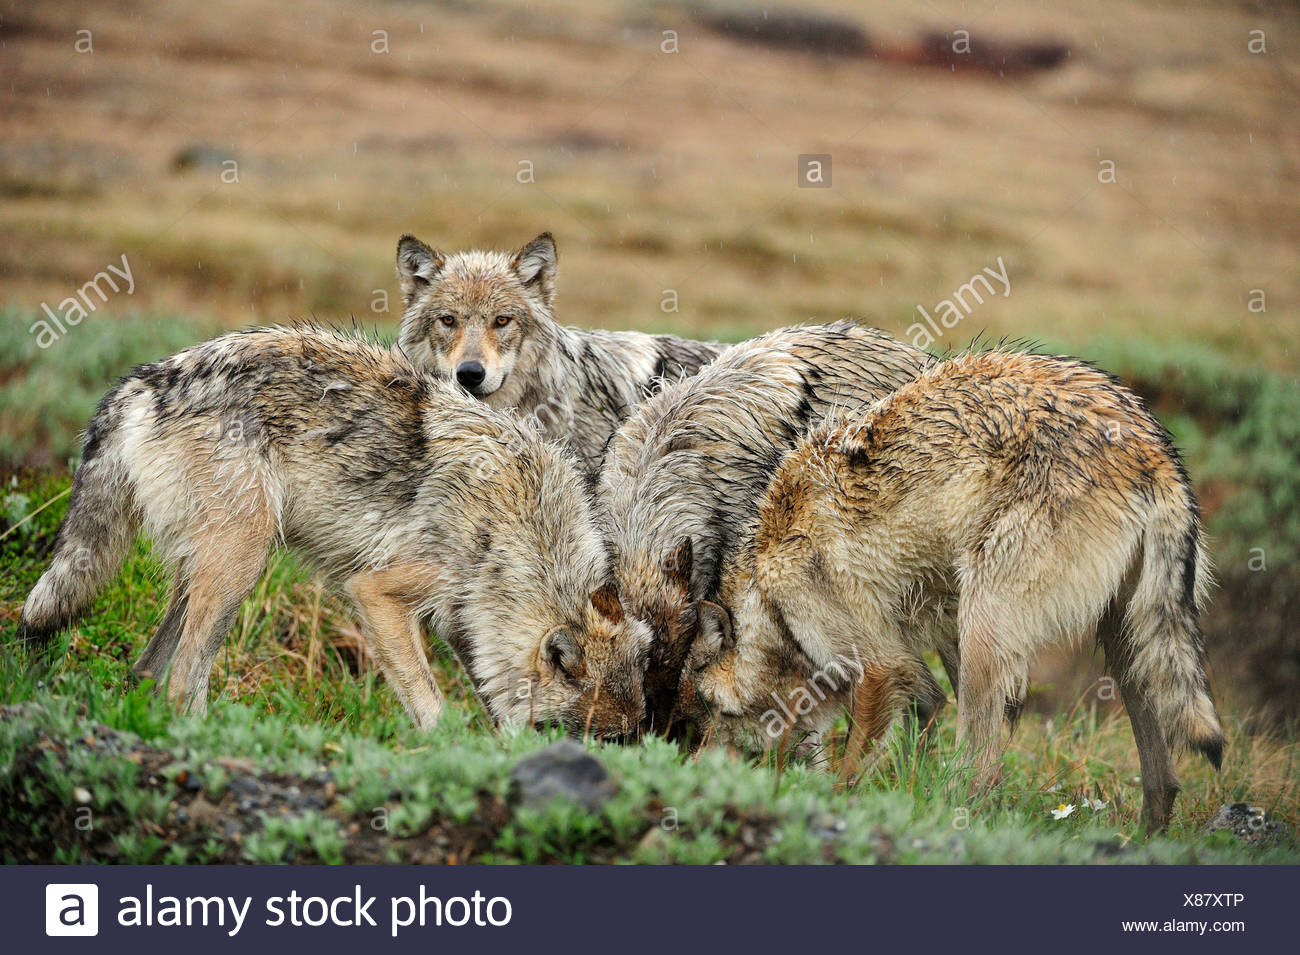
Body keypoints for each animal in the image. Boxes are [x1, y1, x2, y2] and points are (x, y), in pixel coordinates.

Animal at [16, 325, 648, 737]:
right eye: (599, 742)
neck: (515, 530)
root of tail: (141, 382)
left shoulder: (463, 625)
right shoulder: (377, 592)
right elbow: (434, 710)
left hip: (210, 572)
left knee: (147, 672)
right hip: (241, 564)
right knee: (180, 681)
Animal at [688, 350, 1225, 832]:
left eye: (711, 710)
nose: (691, 771)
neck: (765, 592)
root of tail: (1153, 453)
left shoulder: (880, 665)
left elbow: (849, 770)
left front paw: (843, 808)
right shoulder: (912, 675)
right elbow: (916, 725)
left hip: (983, 630)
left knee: (982, 771)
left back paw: (950, 819)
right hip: (1124, 644)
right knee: (1163, 780)